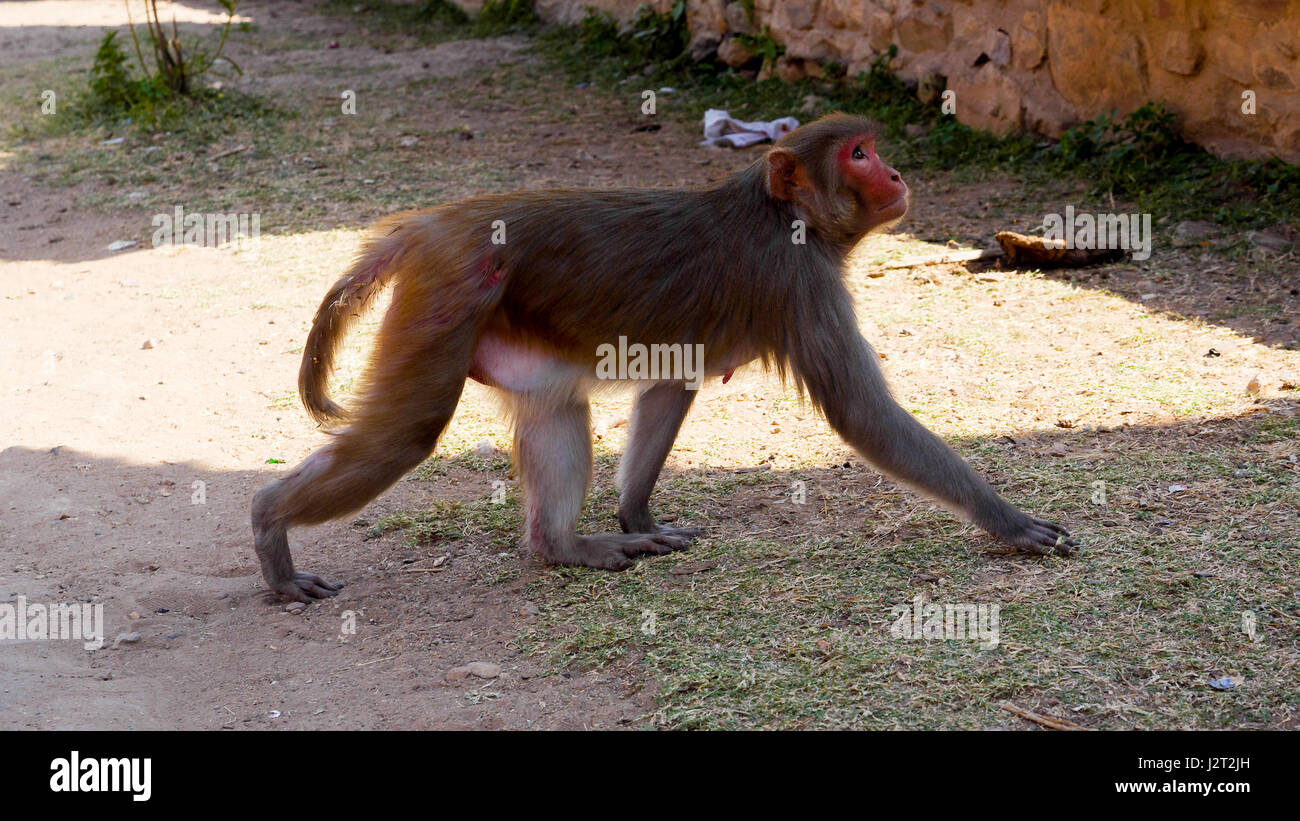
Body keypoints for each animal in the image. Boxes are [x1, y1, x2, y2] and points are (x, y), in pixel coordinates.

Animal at [251, 113, 1075, 604]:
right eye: (859, 154)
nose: (898, 175)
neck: (786, 214)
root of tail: (427, 226)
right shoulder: (799, 280)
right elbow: (862, 413)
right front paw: (1006, 520)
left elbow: (673, 384)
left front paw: (636, 512)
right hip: (449, 295)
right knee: (406, 432)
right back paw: (270, 529)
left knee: (555, 410)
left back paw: (565, 547)